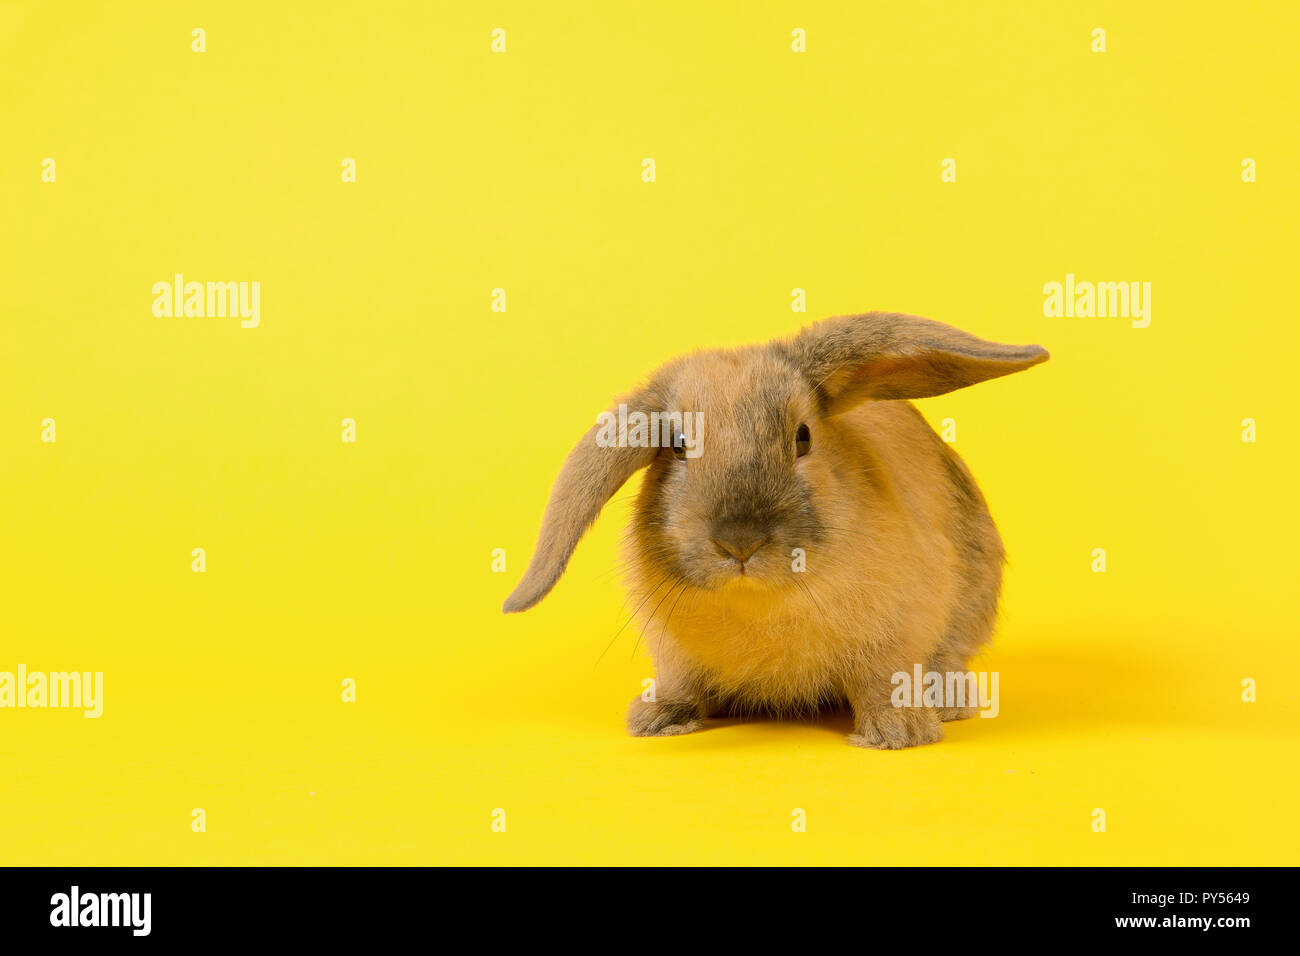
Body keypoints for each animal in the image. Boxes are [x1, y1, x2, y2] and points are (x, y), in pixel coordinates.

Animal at [503, 312, 1048, 748]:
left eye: (803, 437)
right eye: (676, 446)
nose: (739, 542)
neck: (761, 600)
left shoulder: (898, 633)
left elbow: (882, 680)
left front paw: (899, 734)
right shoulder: (672, 655)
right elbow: (681, 684)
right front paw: (655, 720)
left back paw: (947, 703)